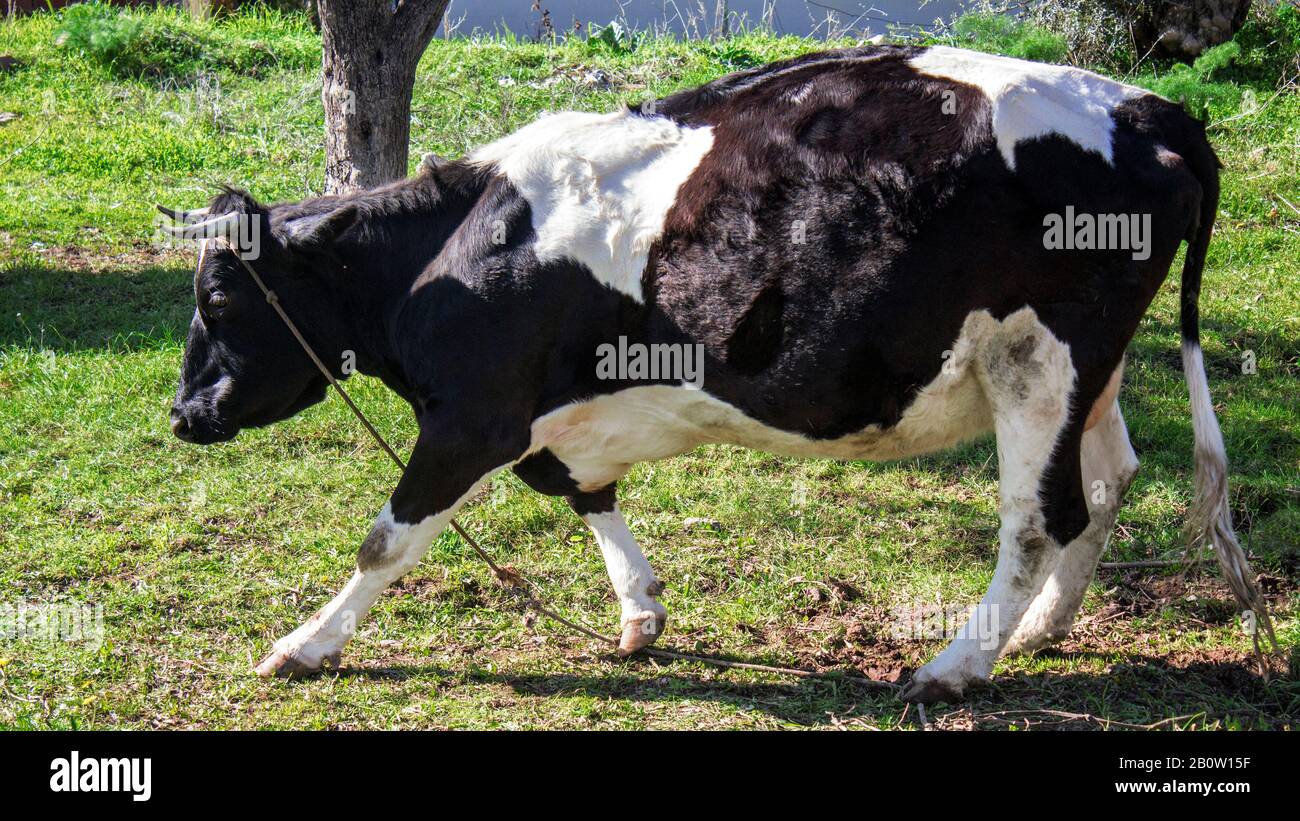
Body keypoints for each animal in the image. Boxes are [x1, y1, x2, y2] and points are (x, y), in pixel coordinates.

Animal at [162, 45, 1269, 703]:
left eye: (218, 298)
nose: (183, 413)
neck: (457, 250)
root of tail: (1150, 108)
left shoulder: (472, 415)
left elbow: (387, 538)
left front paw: (305, 645)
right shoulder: (538, 412)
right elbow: (578, 487)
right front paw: (639, 609)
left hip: (1037, 359)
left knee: (1043, 514)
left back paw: (954, 665)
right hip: (1088, 370)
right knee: (1108, 482)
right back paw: (1037, 631)